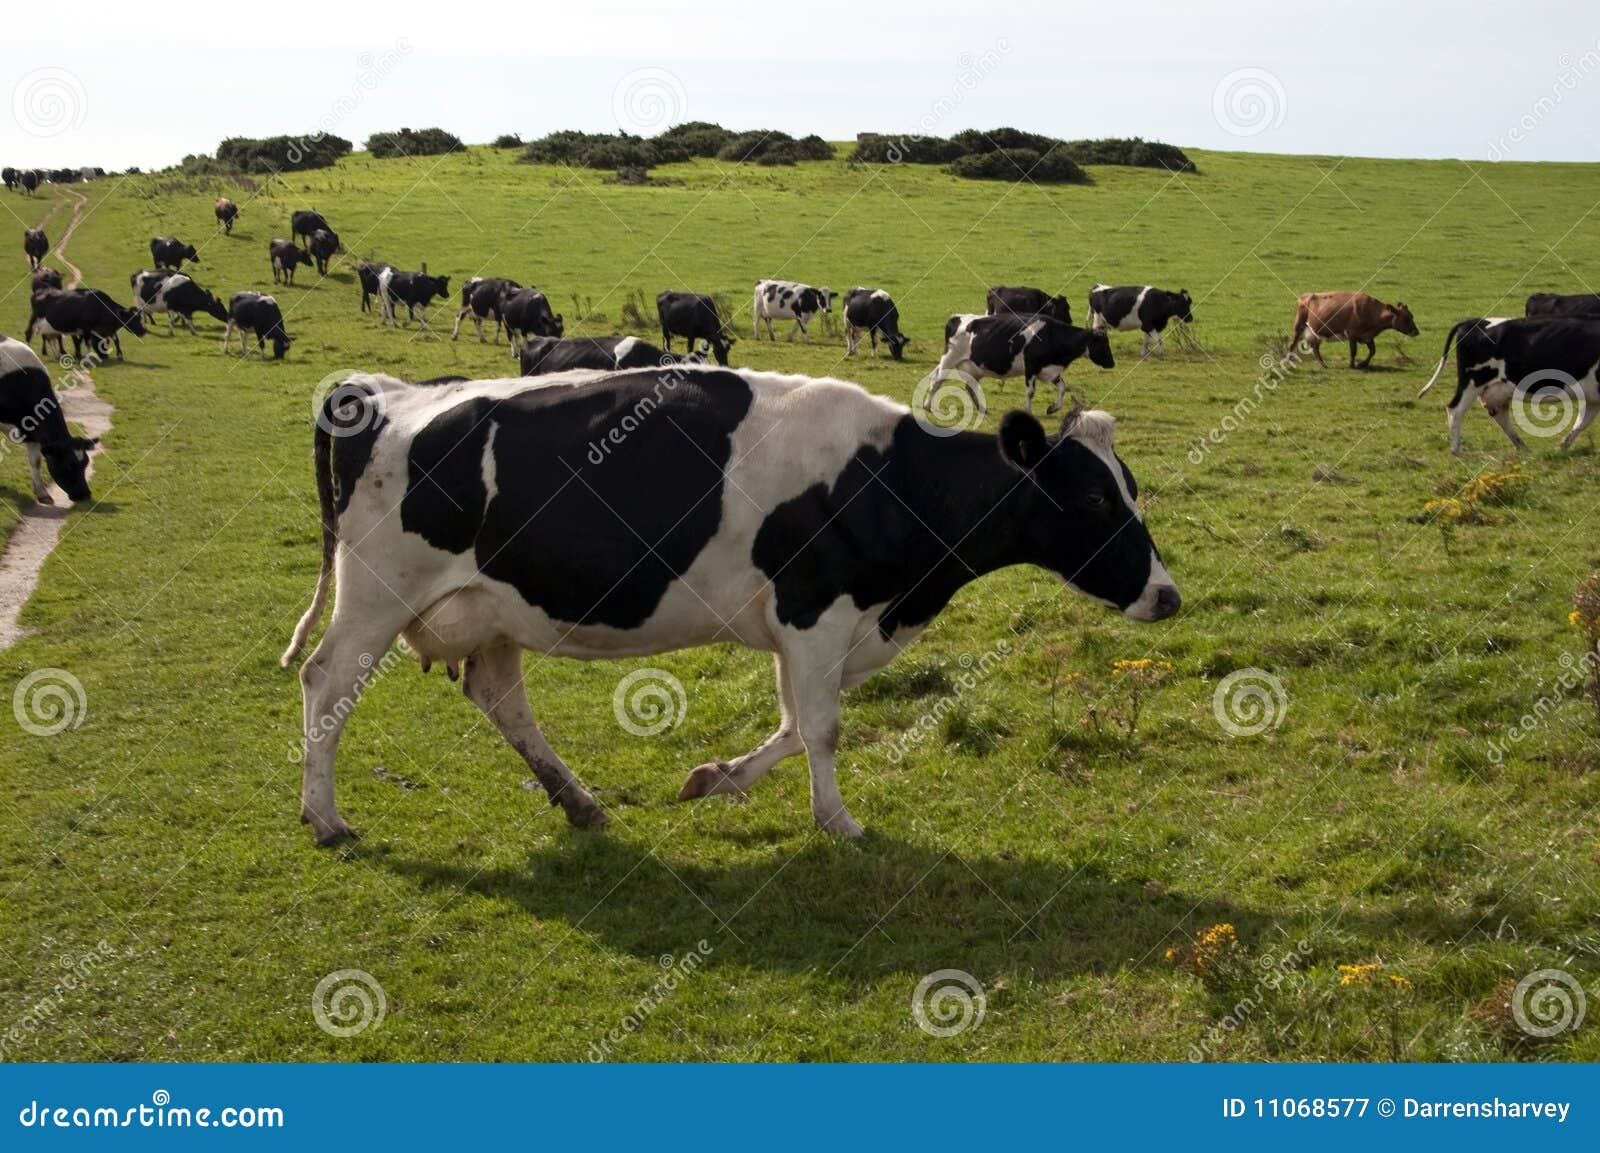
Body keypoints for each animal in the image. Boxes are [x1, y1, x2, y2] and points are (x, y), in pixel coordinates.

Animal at [0, 337, 96, 504]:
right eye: (69, 465)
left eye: (86, 463)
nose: (84, 495)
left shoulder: (33, 432)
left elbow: (35, 461)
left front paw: (42, 493)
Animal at [278, 366, 1179, 846]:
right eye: (1094, 499)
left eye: (1131, 485)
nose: (1167, 595)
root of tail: (381, 390)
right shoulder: (817, 612)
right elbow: (822, 728)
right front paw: (838, 820)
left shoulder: (807, 628)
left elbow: (792, 725)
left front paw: (714, 778)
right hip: (376, 592)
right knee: (327, 682)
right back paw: (325, 817)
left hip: (491, 605)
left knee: (498, 696)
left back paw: (579, 799)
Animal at [935, 314, 1114, 415]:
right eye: (1102, 344)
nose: (1112, 363)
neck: (1052, 336)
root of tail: (955, 318)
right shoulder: (1031, 367)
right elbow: (1030, 392)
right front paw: (1028, 411)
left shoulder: (1049, 370)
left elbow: (1063, 387)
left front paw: (1053, 408)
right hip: (950, 358)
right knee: (937, 379)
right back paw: (930, 407)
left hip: (972, 367)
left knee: (969, 386)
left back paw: (982, 410)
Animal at [1289, 291, 1418, 369]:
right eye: (1406, 318)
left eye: (1412, 316)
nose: (1416, 332)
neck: (1371, 311)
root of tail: (1304, 296)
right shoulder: (1352, 334)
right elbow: (1353, 351)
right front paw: (1352, 365)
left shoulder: (1367, 336)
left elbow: (1373, 351)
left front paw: (1363, 364)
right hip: (1299, 325)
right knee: (1292, 343)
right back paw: (1289, 359)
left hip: (1317, 332)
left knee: (1315, 347)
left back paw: (1323, 364)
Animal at [1417, 316, 1600, 454]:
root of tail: (1473, 321)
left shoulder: (1593, 397)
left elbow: (1582, 422)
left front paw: (1562, 446)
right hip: (1472, 383)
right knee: (1455, 409)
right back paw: (1457, 450)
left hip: (1496, 390)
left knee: (1500, 415)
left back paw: (1522, 446)